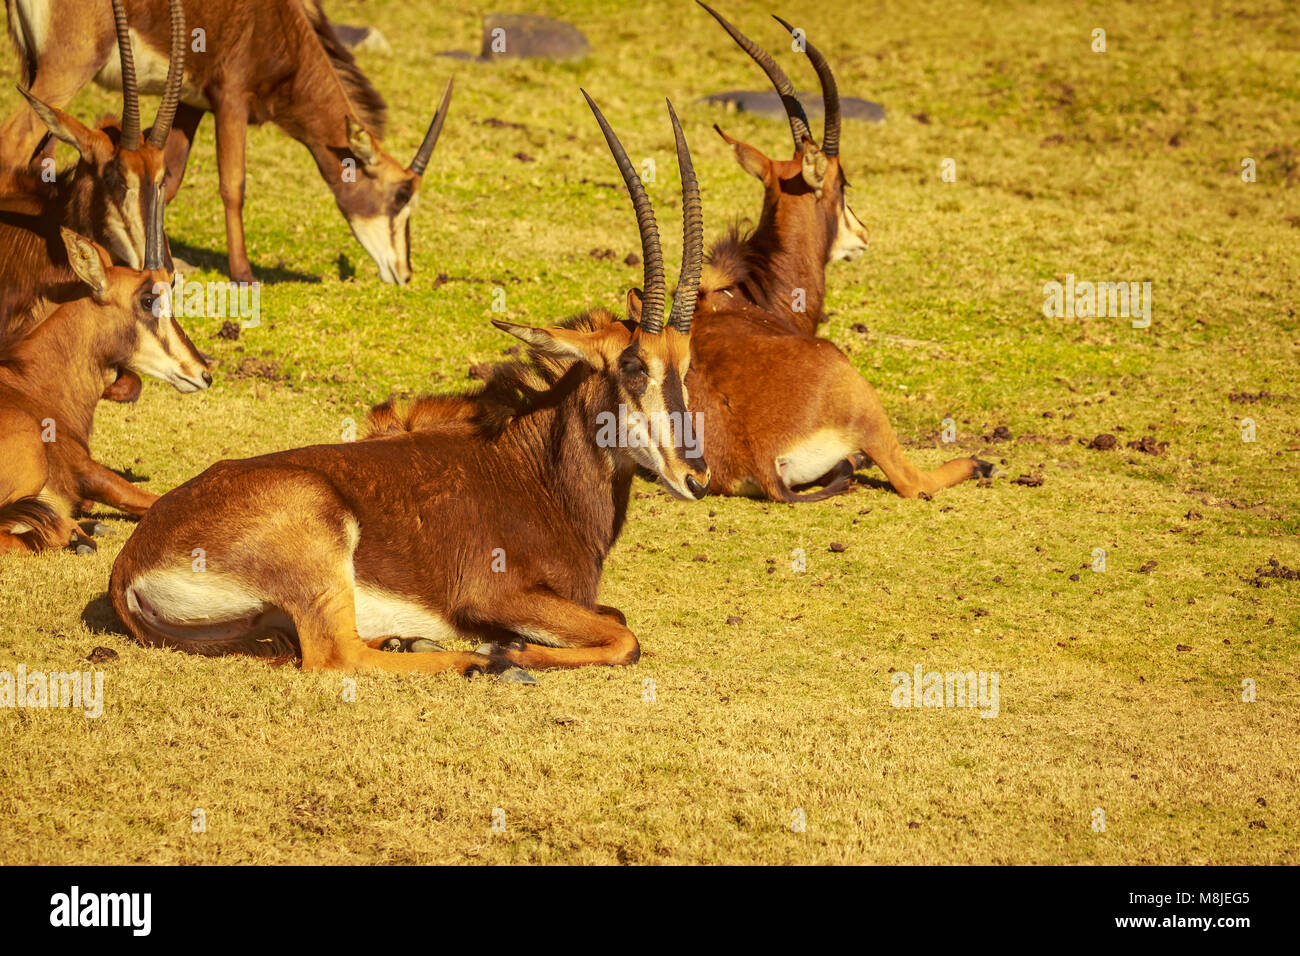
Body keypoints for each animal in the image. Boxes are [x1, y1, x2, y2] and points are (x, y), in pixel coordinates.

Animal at [0, 0, 452, 285]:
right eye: (400, 197)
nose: (404, 273)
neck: (281, 23)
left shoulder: (190, 101)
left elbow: (171, 180)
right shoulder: (232, 97)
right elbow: (234, 186)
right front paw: (244, 274)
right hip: (68, 68)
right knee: (14, 146)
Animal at [108, 94, 708, 680]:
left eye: (686, 366)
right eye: (634, 365)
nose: (697, 478)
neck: (533, 471)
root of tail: (129, 565)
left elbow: (618, 619)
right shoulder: (495, 594)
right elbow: (625, 638)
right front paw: (512, 650)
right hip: (319, 544)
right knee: (336, 655)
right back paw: (475, 660)